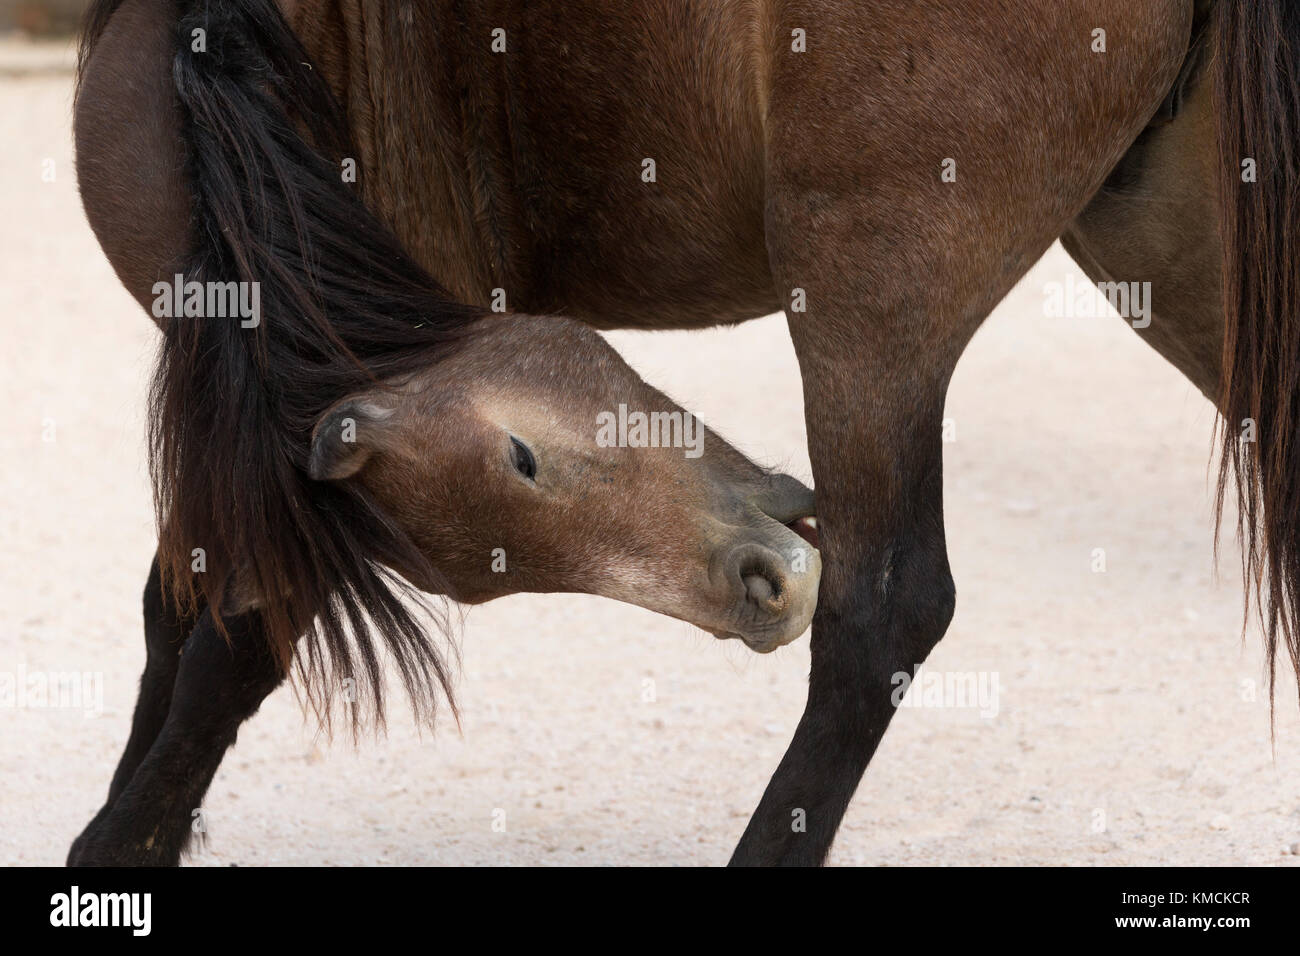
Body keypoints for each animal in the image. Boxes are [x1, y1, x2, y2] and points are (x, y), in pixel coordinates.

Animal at [69, 0, 1300, 866]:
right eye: (524, 461)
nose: (765, 566)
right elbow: (177, 607)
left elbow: (232, 640)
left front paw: (120, 837)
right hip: (1176, 247)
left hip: (871, 276)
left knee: (885, 609)